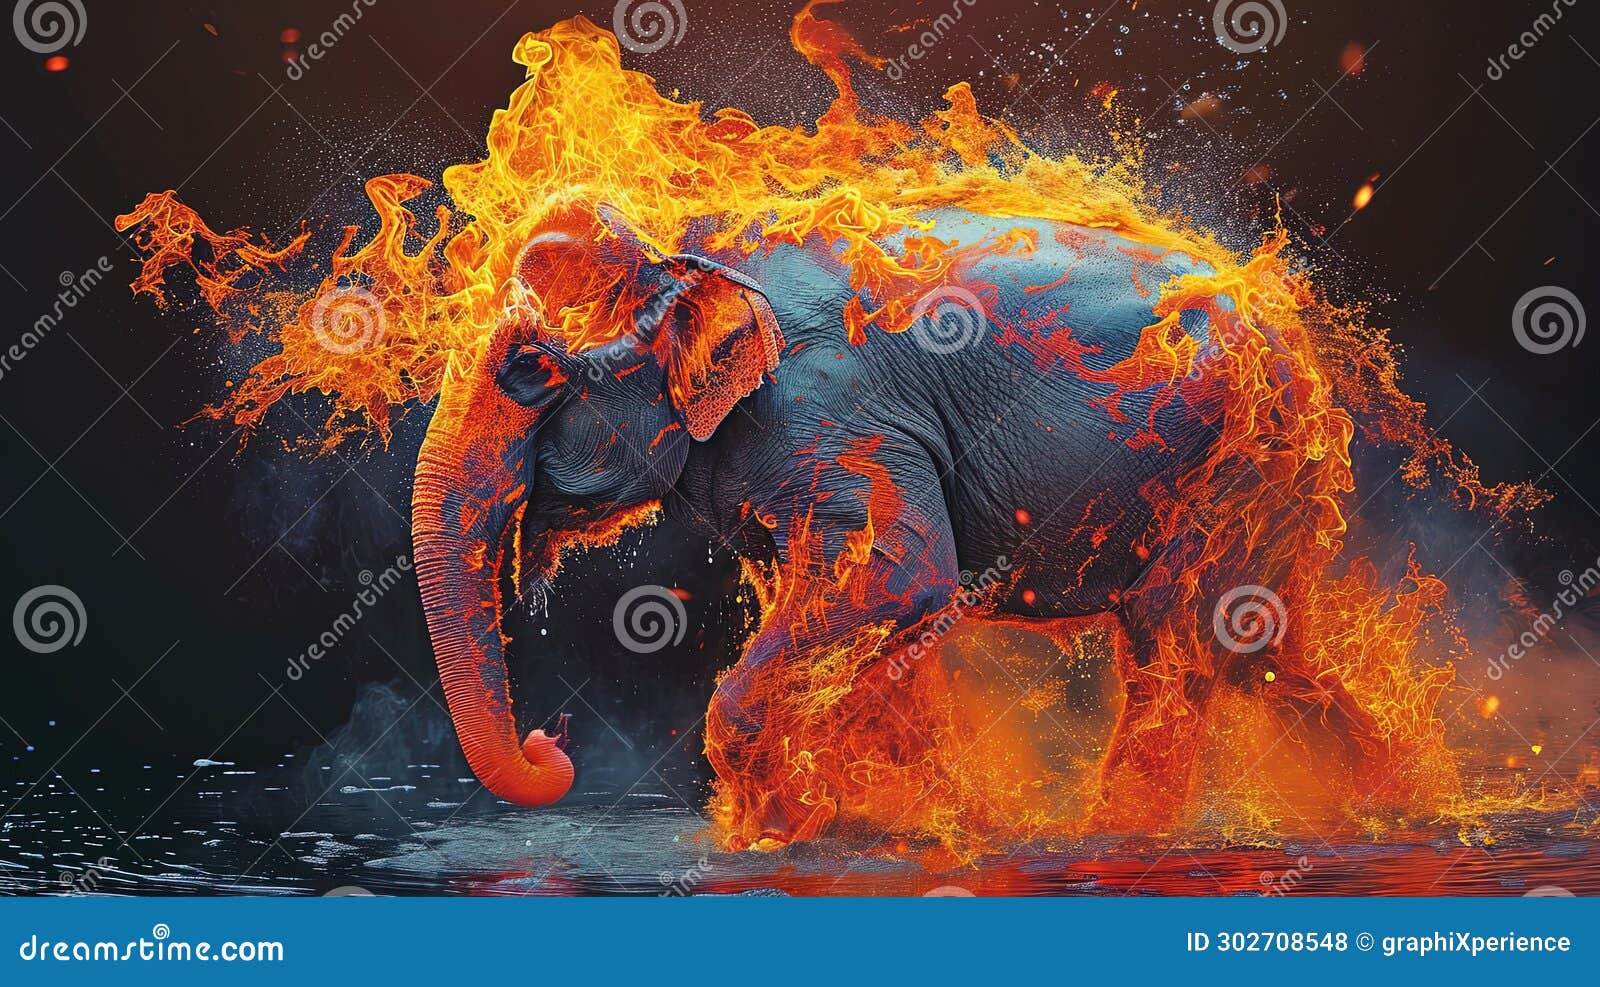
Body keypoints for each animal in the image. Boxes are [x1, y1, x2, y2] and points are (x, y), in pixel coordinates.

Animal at [410, 206, 1303, 837]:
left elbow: (902, 575)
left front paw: (781, 831)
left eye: (529, 367)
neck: (687, 244)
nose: (548, 740)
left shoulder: (832, 411)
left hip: (1233, 465)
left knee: (1170, 639)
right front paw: (925, 822)